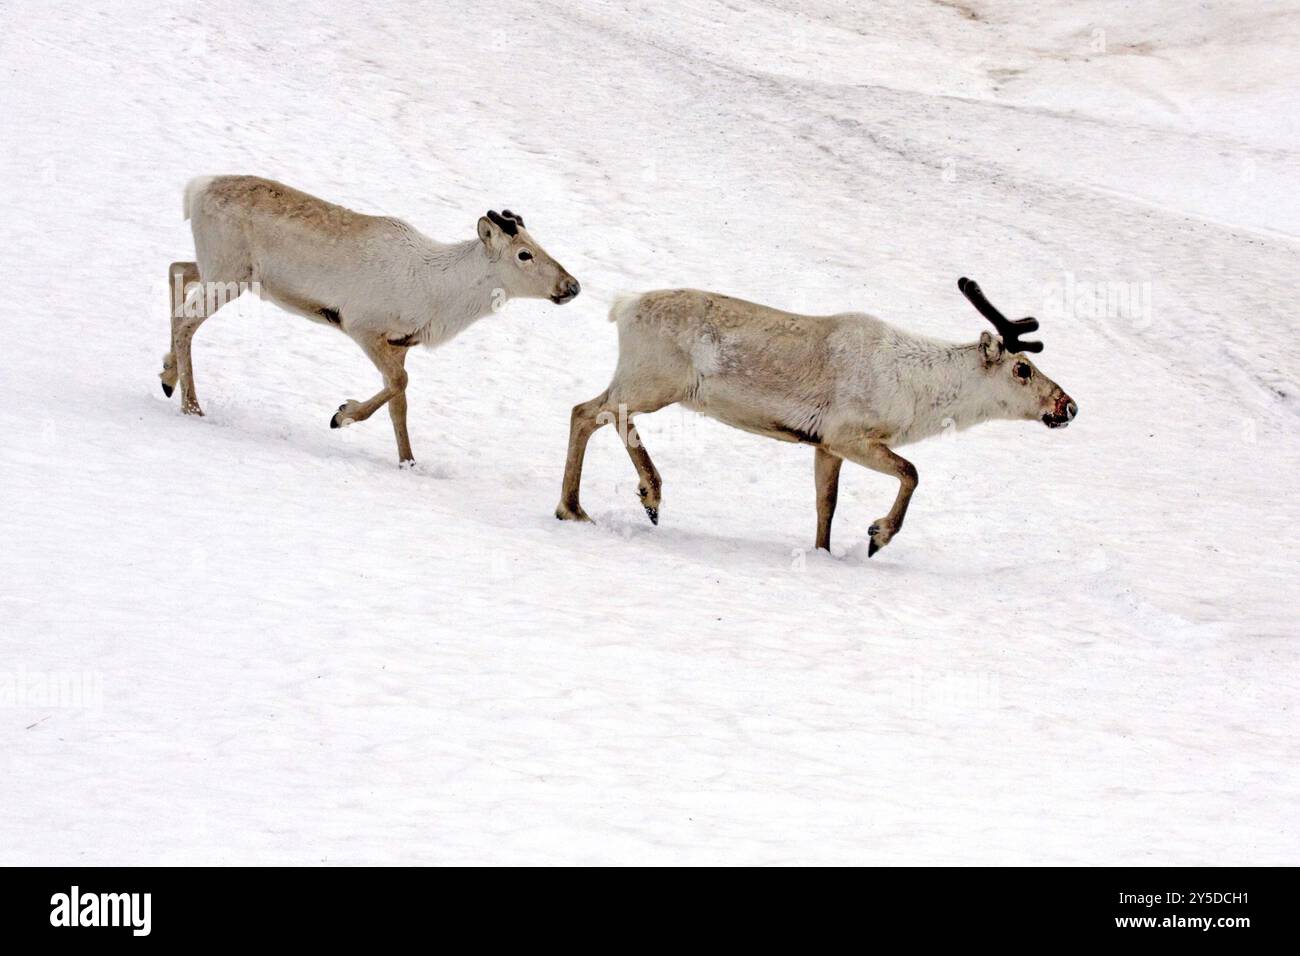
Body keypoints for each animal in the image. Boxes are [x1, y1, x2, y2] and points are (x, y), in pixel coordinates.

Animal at [161, 175, 581, 464]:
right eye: (524, 254)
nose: (571, 285)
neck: (441, 296)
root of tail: (195, 189)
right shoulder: (362, 327)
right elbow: (399, 384)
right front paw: (341, 415)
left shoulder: (401, 344)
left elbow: (400, 402)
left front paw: (408, 462)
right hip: (229, 273)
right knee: (186, 321)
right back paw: (192, 406)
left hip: (223, 271)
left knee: (176, 269)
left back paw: (167, 375)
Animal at [556, 278, 1077, 556]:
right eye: (1023, 369)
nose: (1067, 406)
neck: (919, 392)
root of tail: (623, 307)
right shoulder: (850, 435)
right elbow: (912, 471)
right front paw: (877, 536)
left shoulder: (824, 445)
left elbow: (826, 503)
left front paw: (823, 553)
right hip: (653, 382)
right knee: (590, 412)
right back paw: (622, 500)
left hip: (645, 382)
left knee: (591, 412)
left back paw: (596, 504)